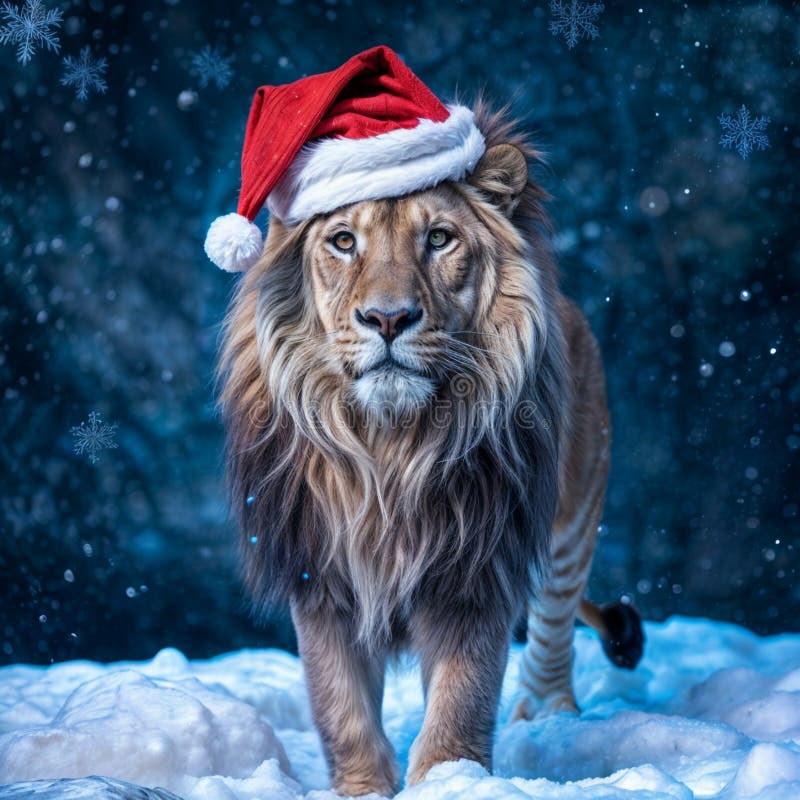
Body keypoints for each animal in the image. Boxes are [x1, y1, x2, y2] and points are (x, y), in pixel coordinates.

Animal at [217, 98, 643, 796]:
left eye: (439, 239)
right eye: (343, 242)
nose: (388, 319)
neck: (389, 443)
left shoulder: (475, 567)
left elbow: (461, 699)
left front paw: (450, 779)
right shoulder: (323, 576)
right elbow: (340, 708)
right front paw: (363, 787)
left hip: (572, 519)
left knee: (554, 626)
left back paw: (548, 716)